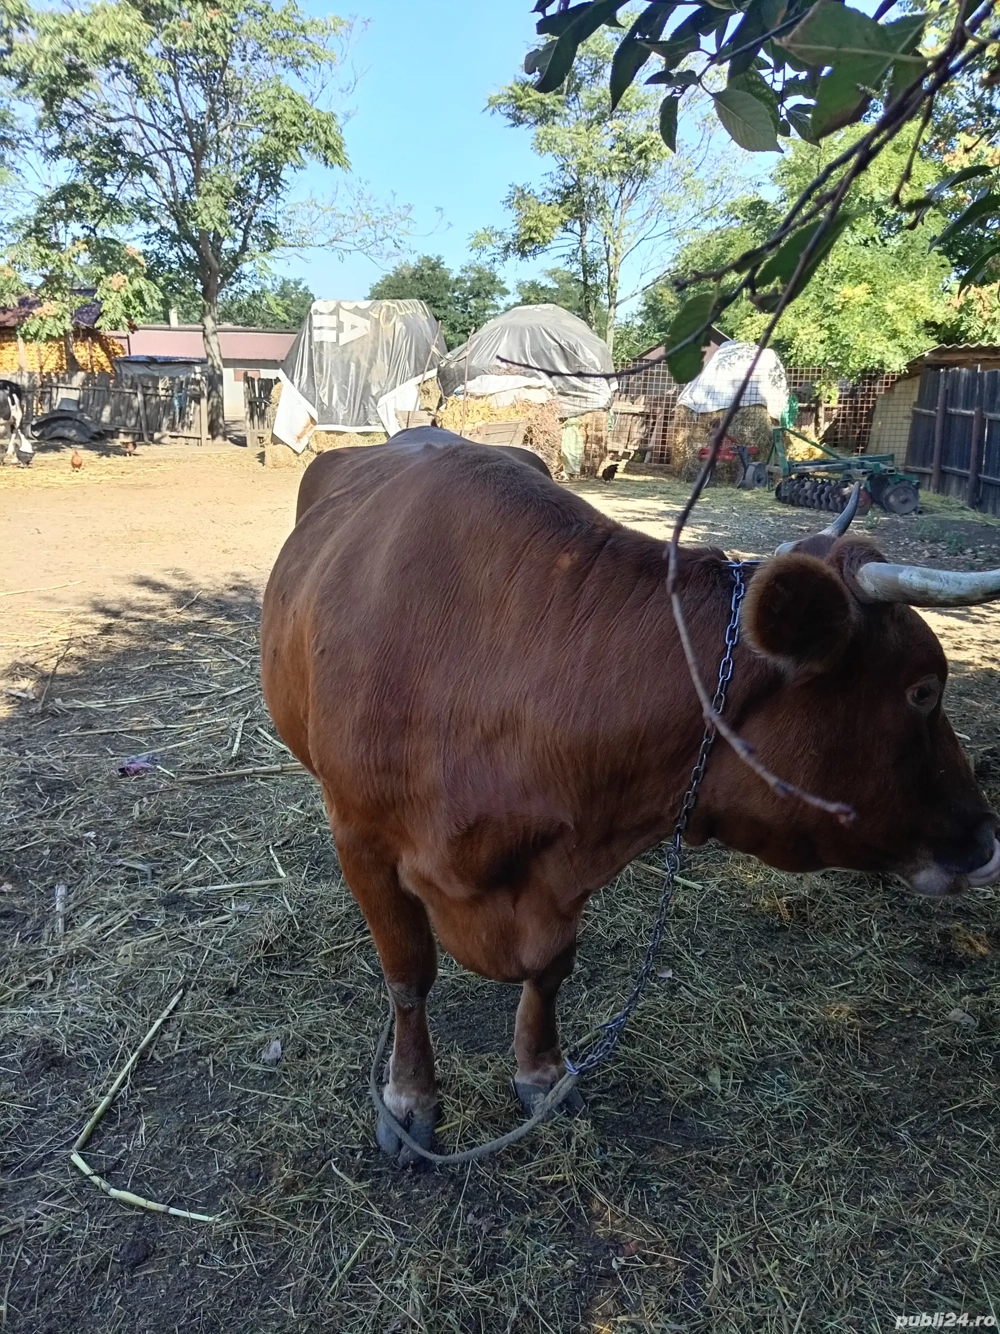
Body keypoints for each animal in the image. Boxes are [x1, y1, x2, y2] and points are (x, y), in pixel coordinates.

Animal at [261, 428, 1000, 1164]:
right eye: (923, 689)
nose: (988, 841)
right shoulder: (362, 839)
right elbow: (409, 974)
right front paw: (409, 1096)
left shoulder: (567, 856)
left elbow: (551, 970)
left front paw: (542, 1073)